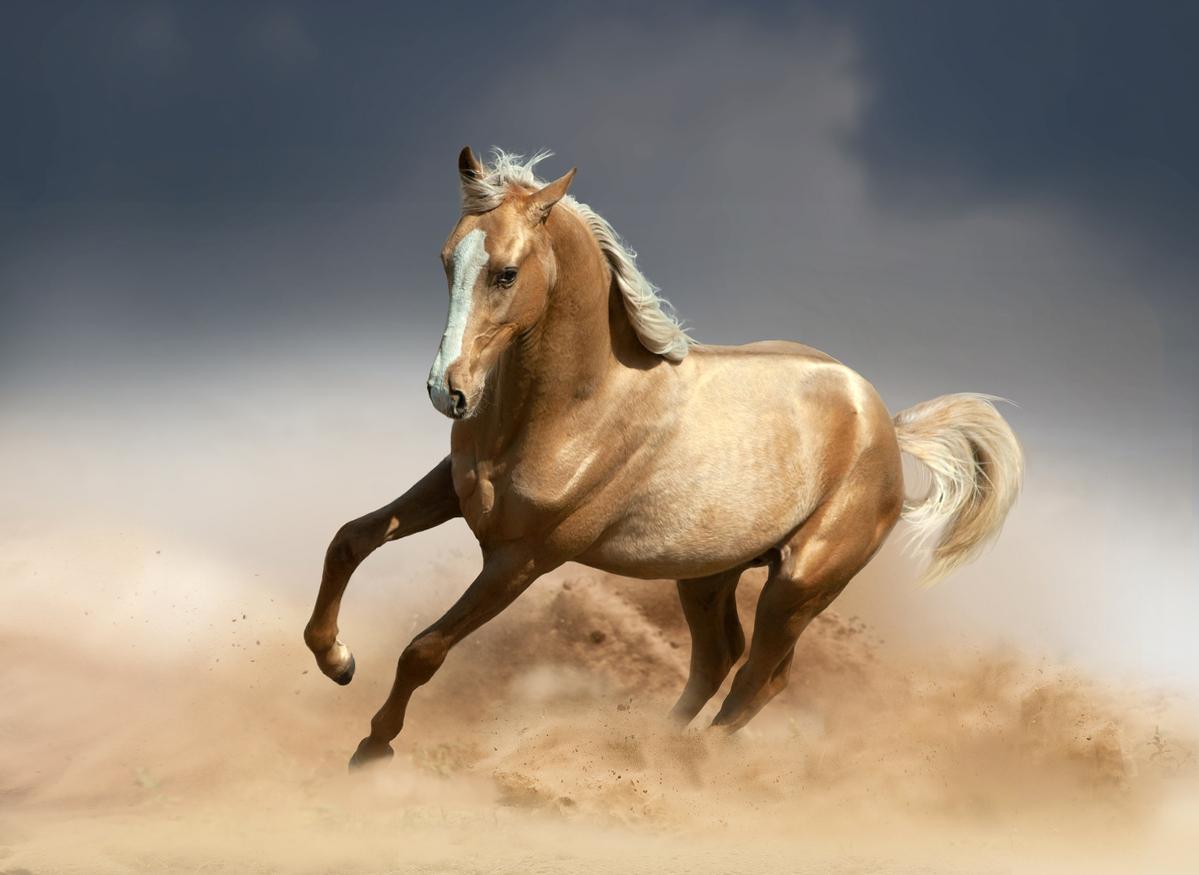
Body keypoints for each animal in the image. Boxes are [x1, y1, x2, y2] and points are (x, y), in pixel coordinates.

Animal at [303, 147, 1023, 769]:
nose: (446, 390)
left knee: (761, 676)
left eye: (505, 272)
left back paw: (685, 766)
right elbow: (349, 539)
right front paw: (336, 659)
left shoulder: (524, 558)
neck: (578, 408)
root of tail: (884, 423)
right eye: (447, 260)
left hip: (799, 584)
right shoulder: (454, 493)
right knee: (720, 660)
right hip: (706, 575)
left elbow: (424, 650)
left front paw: (371, 748)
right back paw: (648, 749)